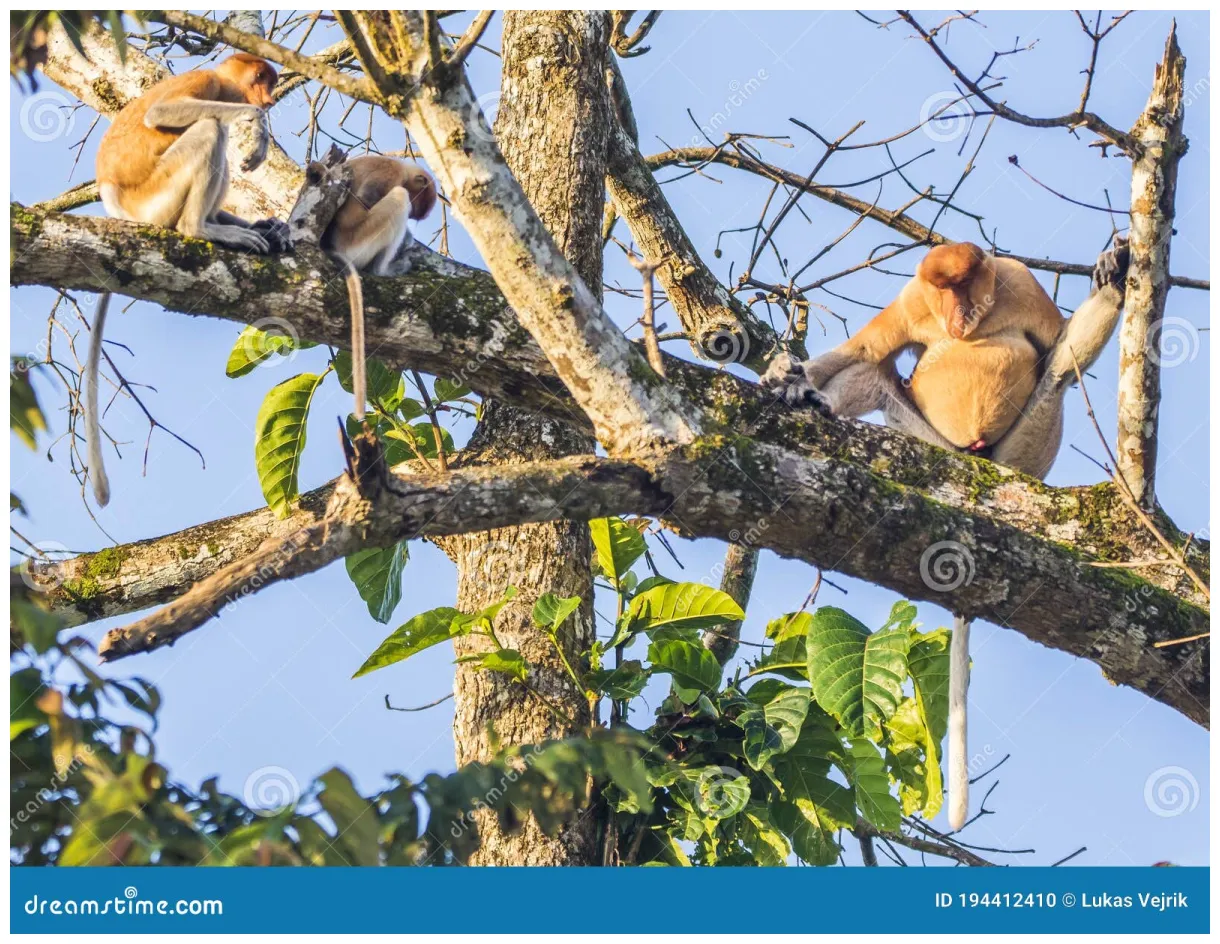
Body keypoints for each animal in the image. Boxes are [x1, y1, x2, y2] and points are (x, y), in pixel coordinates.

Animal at [86, 53, 289, 506]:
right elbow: (163, 113)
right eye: (261, 79)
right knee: (210, 129)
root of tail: (119, 210)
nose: (268, 99)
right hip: (158, 198)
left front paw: (270, 226)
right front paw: (258, 127)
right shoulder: (204, 82)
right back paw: (203, 229)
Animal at [319, 155, 438, 421]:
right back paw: (384, 269)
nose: (413, 214)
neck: (400, 167)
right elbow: (367, 200)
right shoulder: (388, 174)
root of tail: (332, 246)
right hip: (361, 237)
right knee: (398, 197)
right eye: (416, 205)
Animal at [762, 238, 1130, 830]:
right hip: (929, 440)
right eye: (942, 290)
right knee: (876, 373)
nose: (957, 318)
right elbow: (863, 349)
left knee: (1054, 377)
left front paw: (1113, 276)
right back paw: (816, 402)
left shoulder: (1020, 282)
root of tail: (973, 457)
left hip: (1019, 455)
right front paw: (789, 379)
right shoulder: (911, 302)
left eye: (963, 287)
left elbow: (1057, 351)